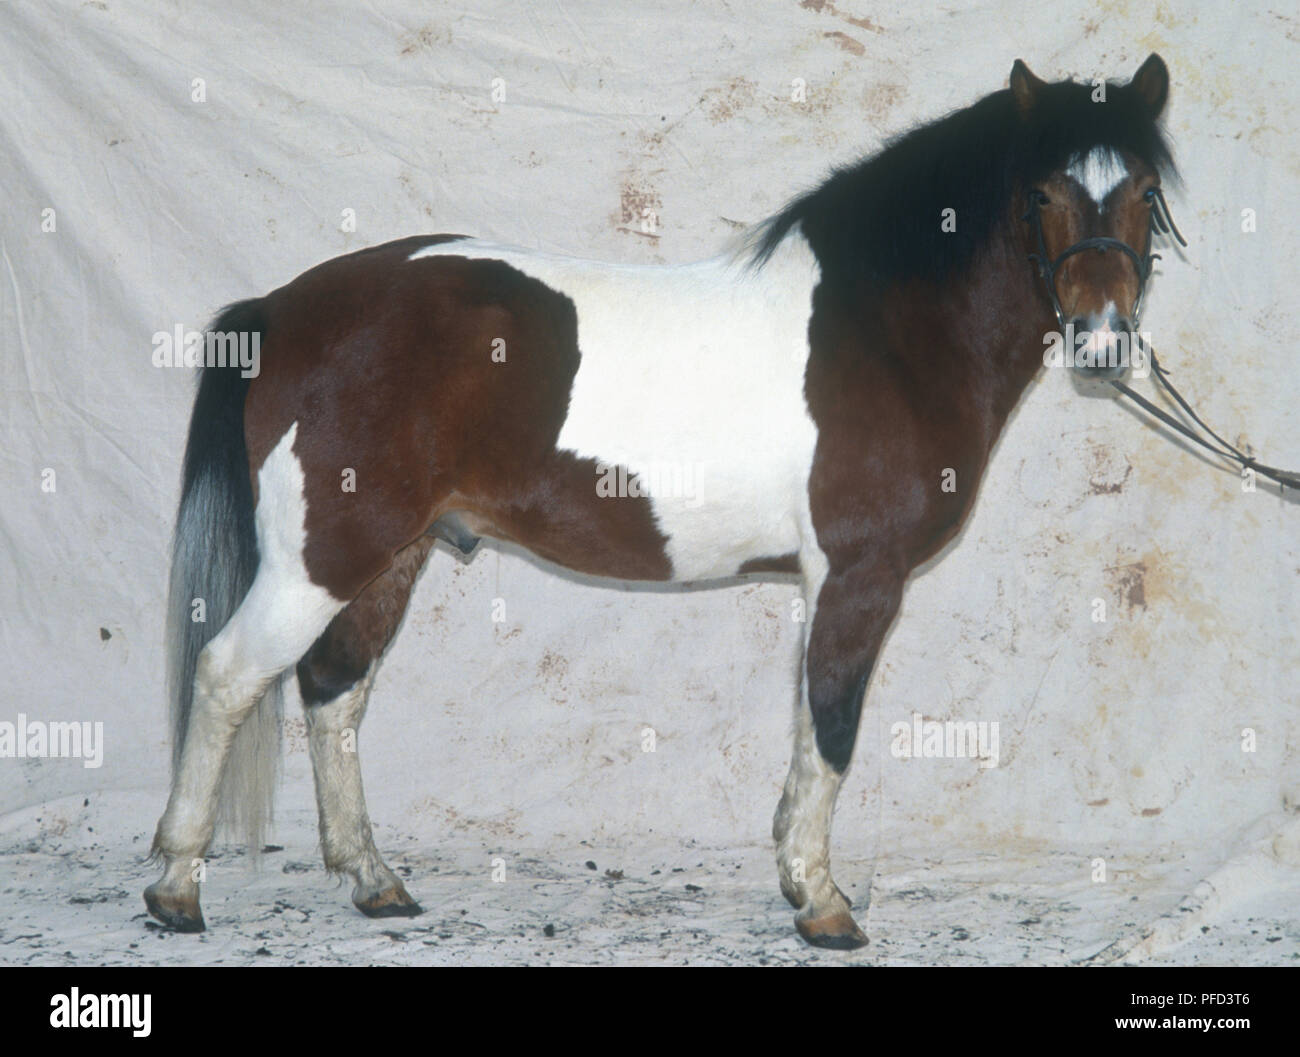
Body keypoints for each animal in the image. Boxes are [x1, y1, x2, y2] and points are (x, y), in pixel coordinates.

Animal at [146, 54, 1179, 950]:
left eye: (1143, 190)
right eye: (1041, 193)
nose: (1101, 340)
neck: (879, 328)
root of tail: (279, 311)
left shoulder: (828, 581)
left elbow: (809, 726)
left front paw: (794, 875)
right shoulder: (859, 574)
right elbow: (834, 724)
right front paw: (825, 905)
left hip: (386, 554)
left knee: (333, 689)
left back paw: (374, 881)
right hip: (321, 557)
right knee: (230, 675)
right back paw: (176, 889)